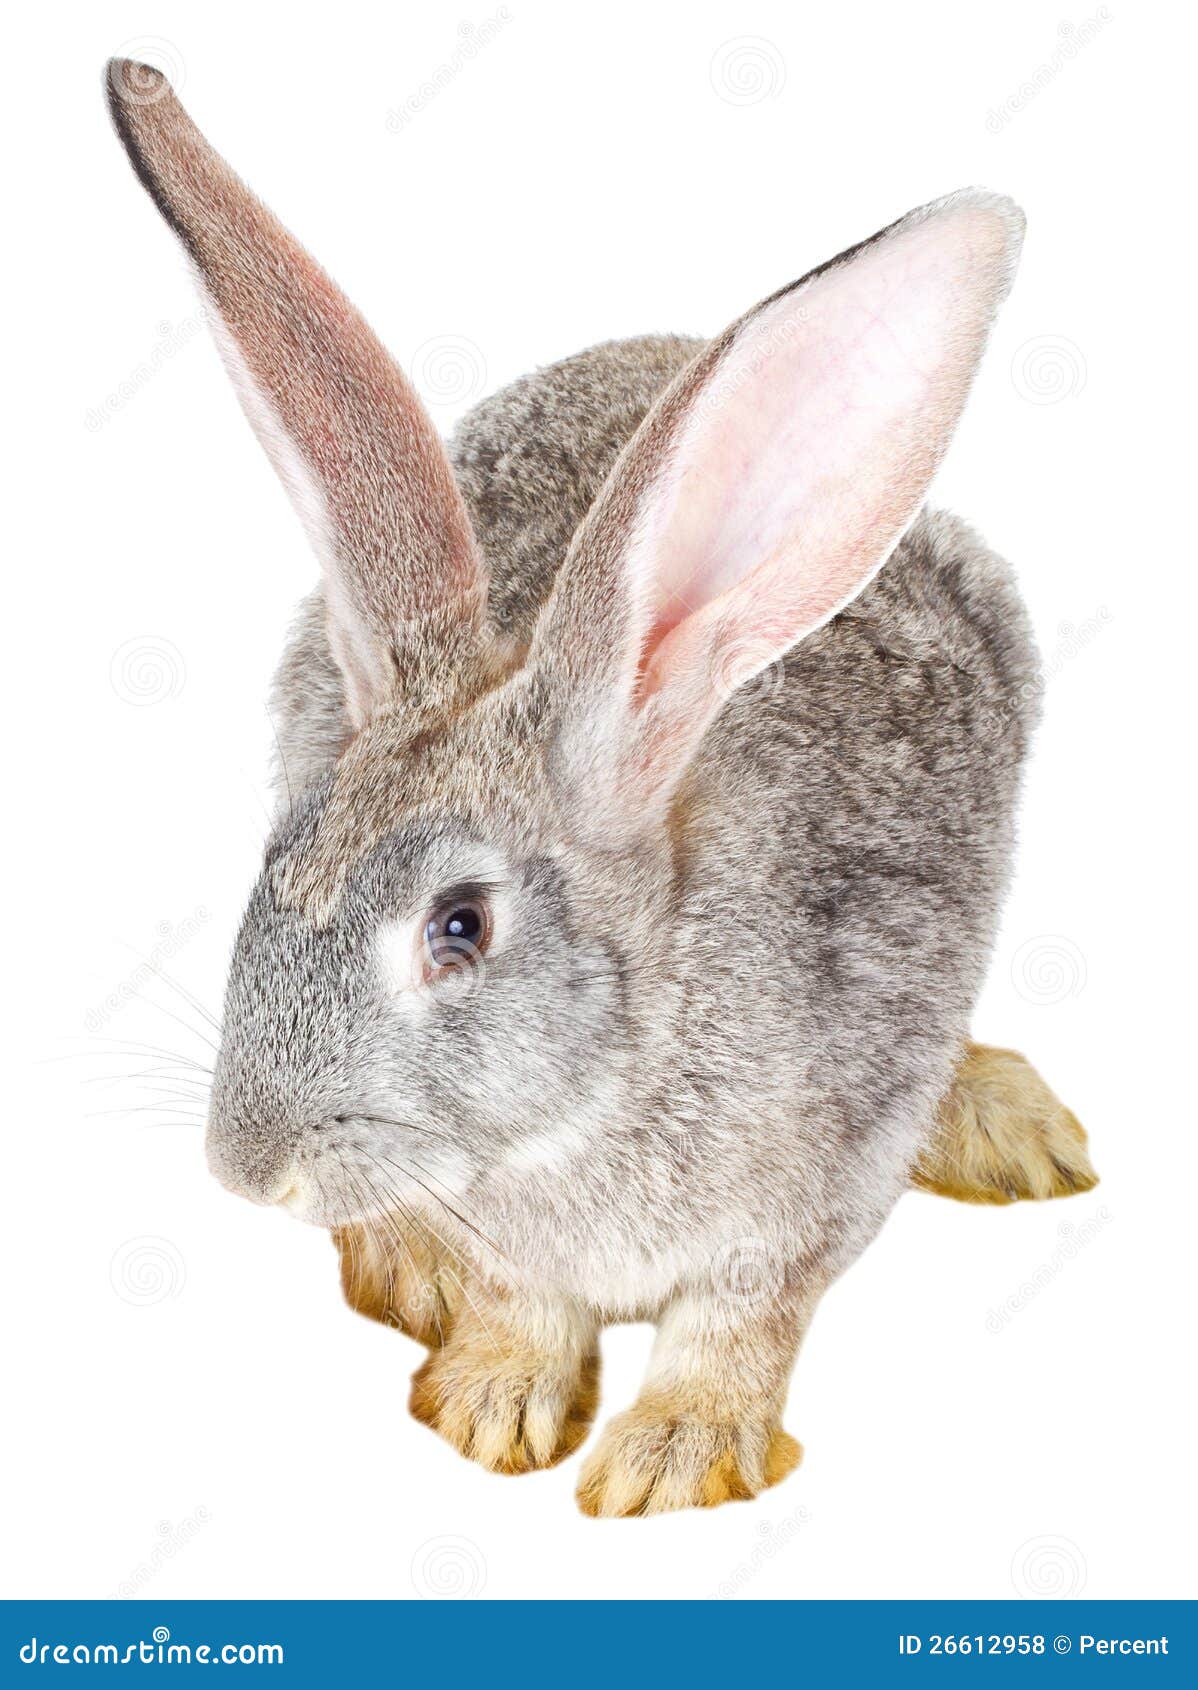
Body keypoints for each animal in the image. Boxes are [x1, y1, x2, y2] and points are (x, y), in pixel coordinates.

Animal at [107, 59, 1094, 1515]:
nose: (248, 1168)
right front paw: (493, 1399)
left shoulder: (806, 1195)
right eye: (273, 870)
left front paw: (672, 1458)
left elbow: (744, 1319)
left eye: (460, 926)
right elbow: (521, 1300)